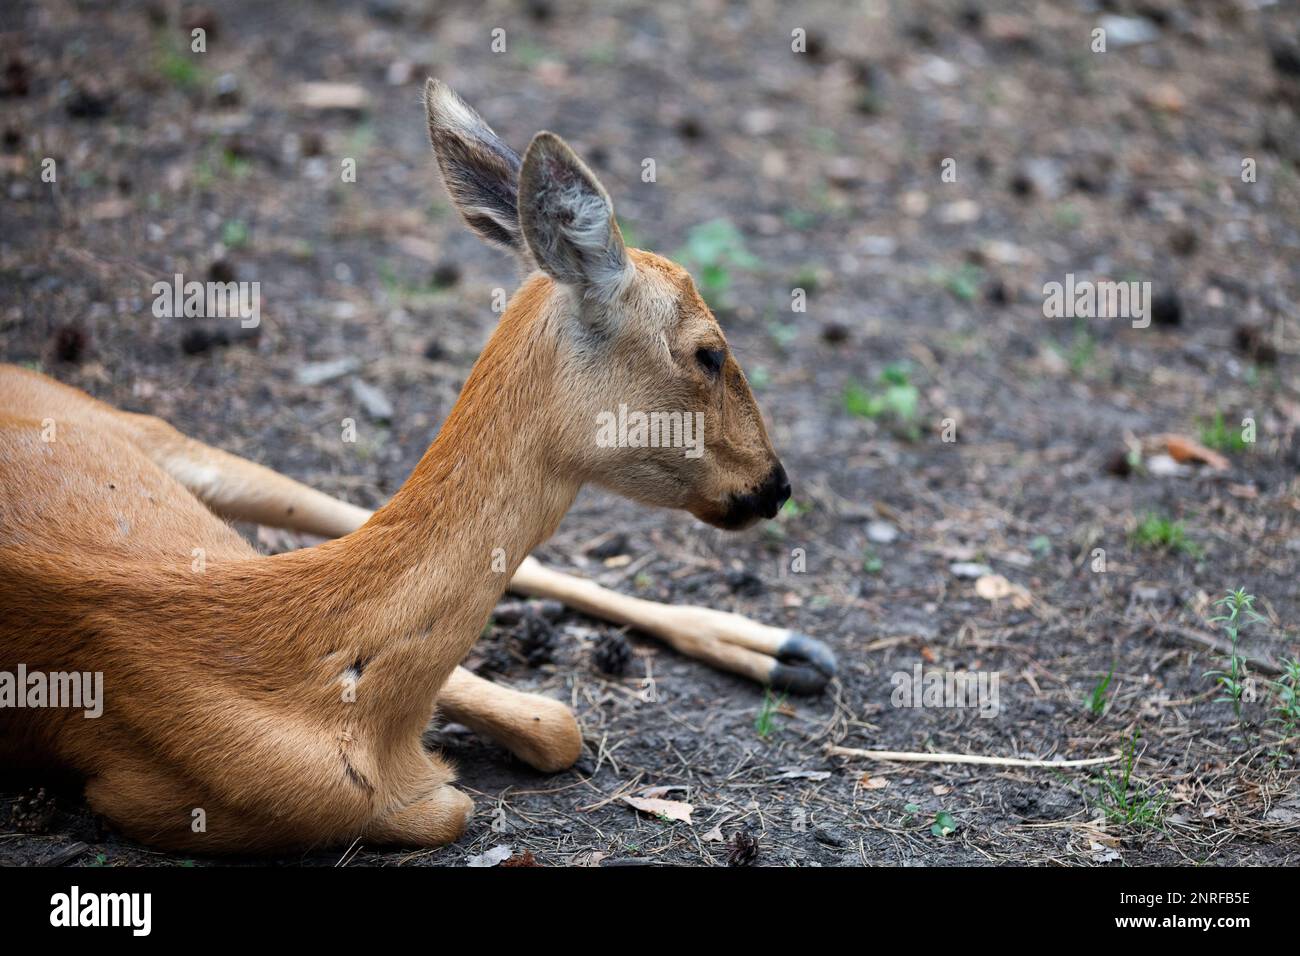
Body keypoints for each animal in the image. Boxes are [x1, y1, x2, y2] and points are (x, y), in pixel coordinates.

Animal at [0, 80, 834, 853]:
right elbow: (485, 774)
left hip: (148, 435)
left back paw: (790, 651)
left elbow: (556, 722)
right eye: (709, 351)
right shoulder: (149, 793)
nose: (775, 484)